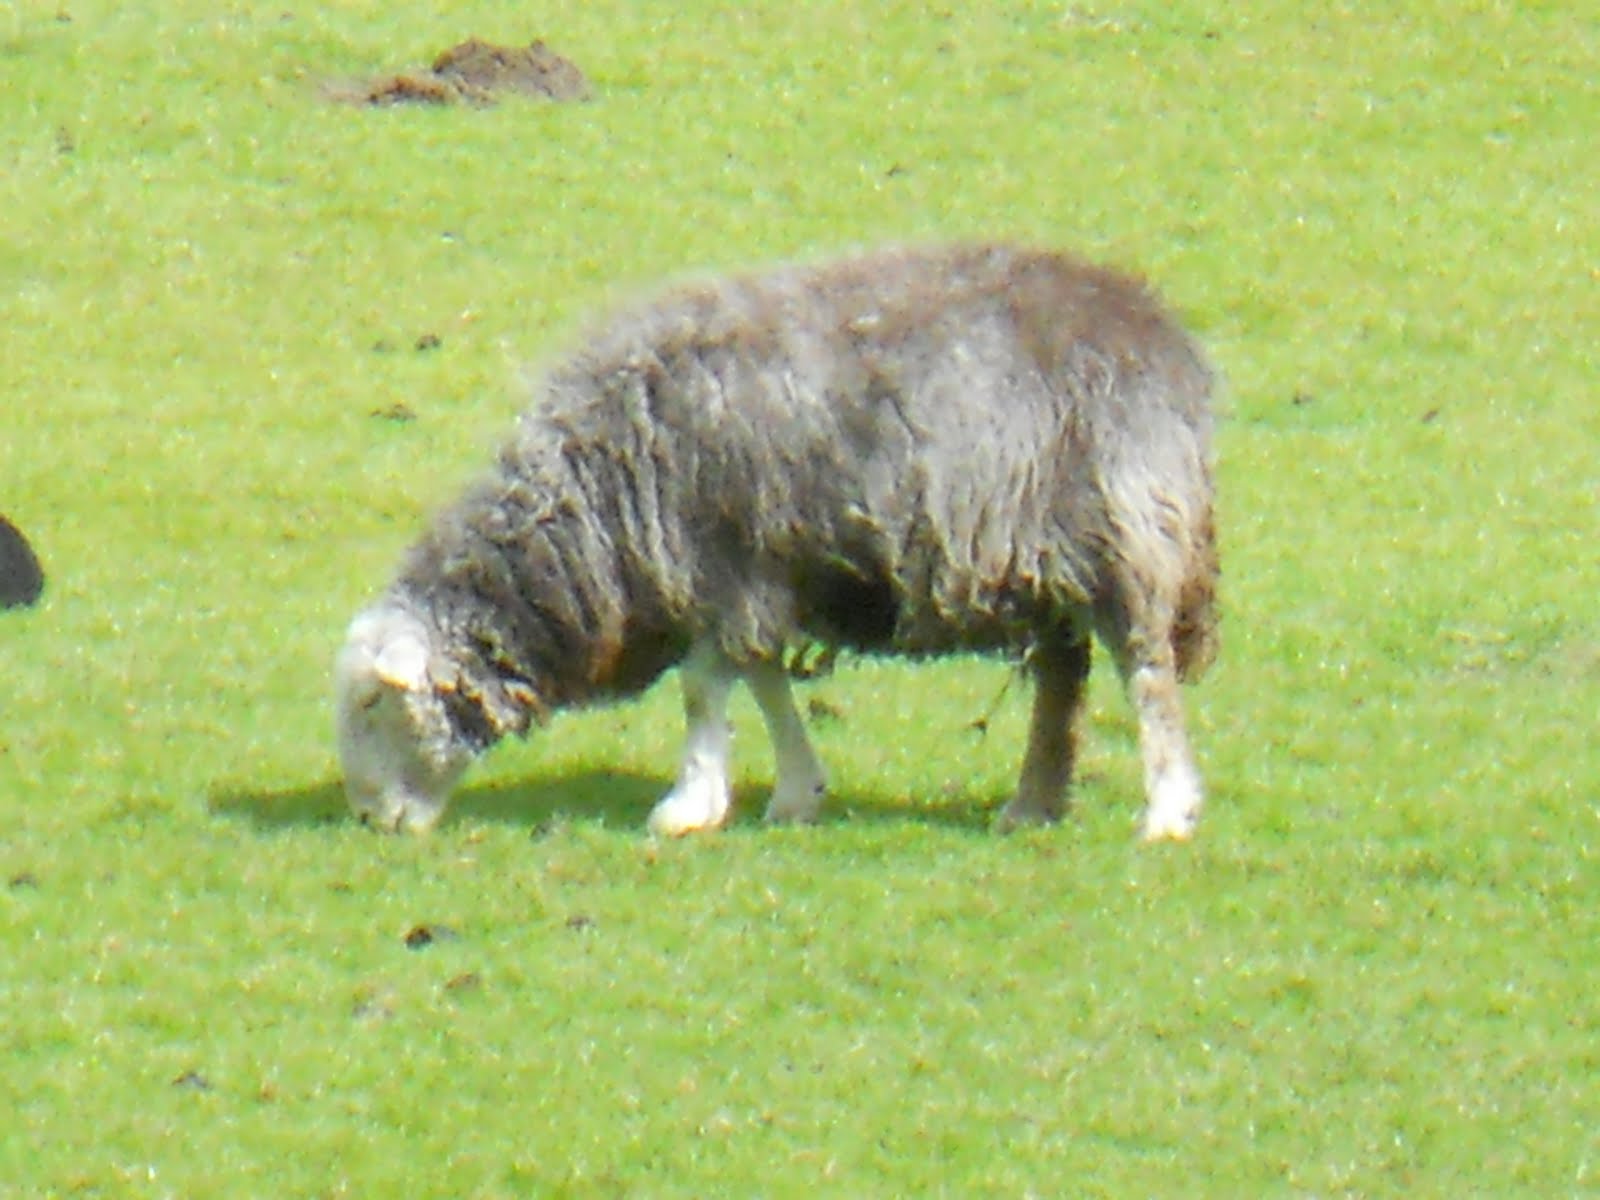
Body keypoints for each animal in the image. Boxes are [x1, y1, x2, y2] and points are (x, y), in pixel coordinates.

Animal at [335, 242, 1219, 840]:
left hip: (1128, 536)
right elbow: (761, 681)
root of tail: (1164, 338)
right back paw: (1033, 805)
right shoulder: (758, 579)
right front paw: (796, 791)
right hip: (1048, 569)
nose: (370, 816)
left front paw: (688, 806)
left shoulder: (731, 567)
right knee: (1062, 683)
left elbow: (704, 687)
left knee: (1147, 674)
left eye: (375, 703)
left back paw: (1167, 811)